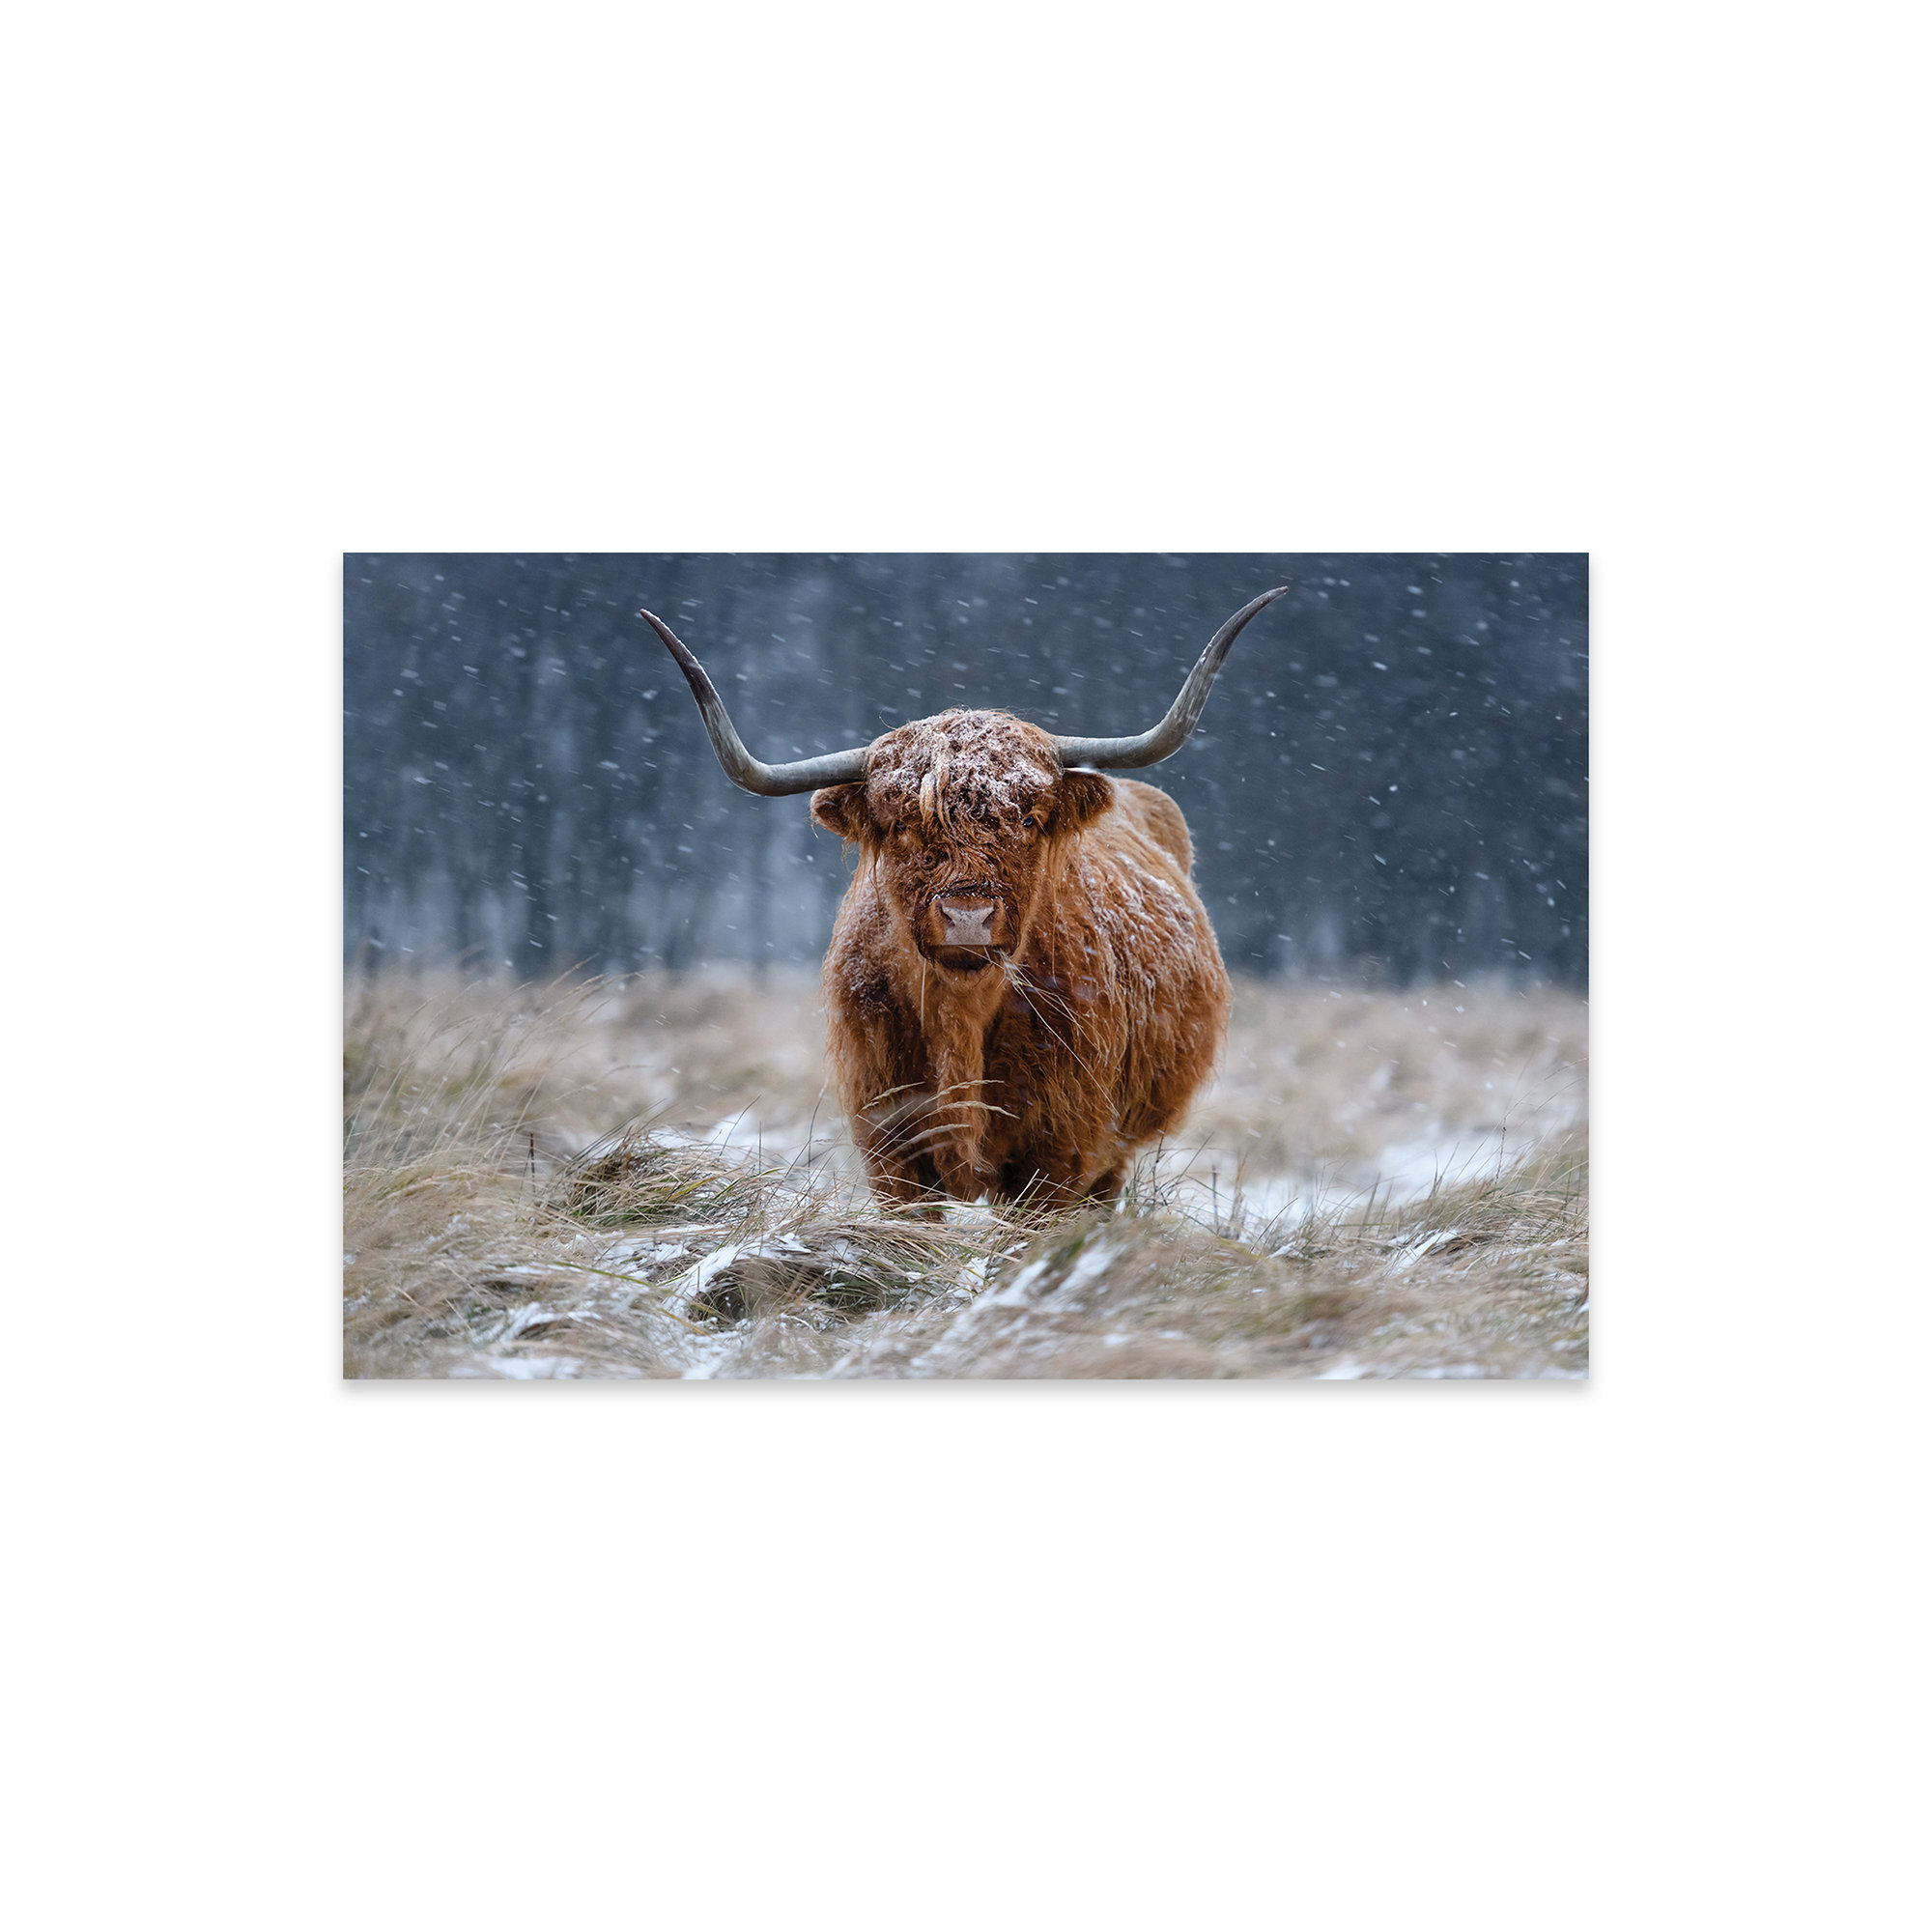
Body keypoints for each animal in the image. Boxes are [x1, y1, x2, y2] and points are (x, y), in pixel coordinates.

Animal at [641, 587, 1289, 1211]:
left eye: (1027, 818)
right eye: (902, 824)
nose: (967, 917)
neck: (961, 1016)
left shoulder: (1059, 1152)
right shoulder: (891, 1147)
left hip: (1114, 1151)